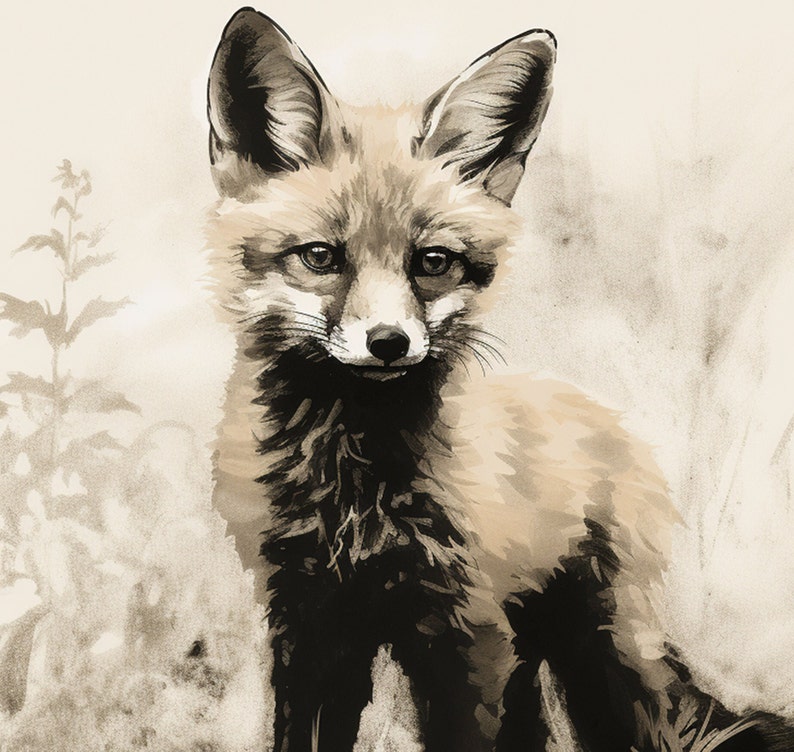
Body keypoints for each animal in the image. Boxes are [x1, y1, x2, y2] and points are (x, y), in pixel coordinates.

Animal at [205, 8, 793, 752]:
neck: (357, 487)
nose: (389, 342)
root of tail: (605, 416)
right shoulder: (312, 623)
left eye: (432, 261)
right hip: (531, 654)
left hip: (598, 654)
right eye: (320, 257)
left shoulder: (465, 631)